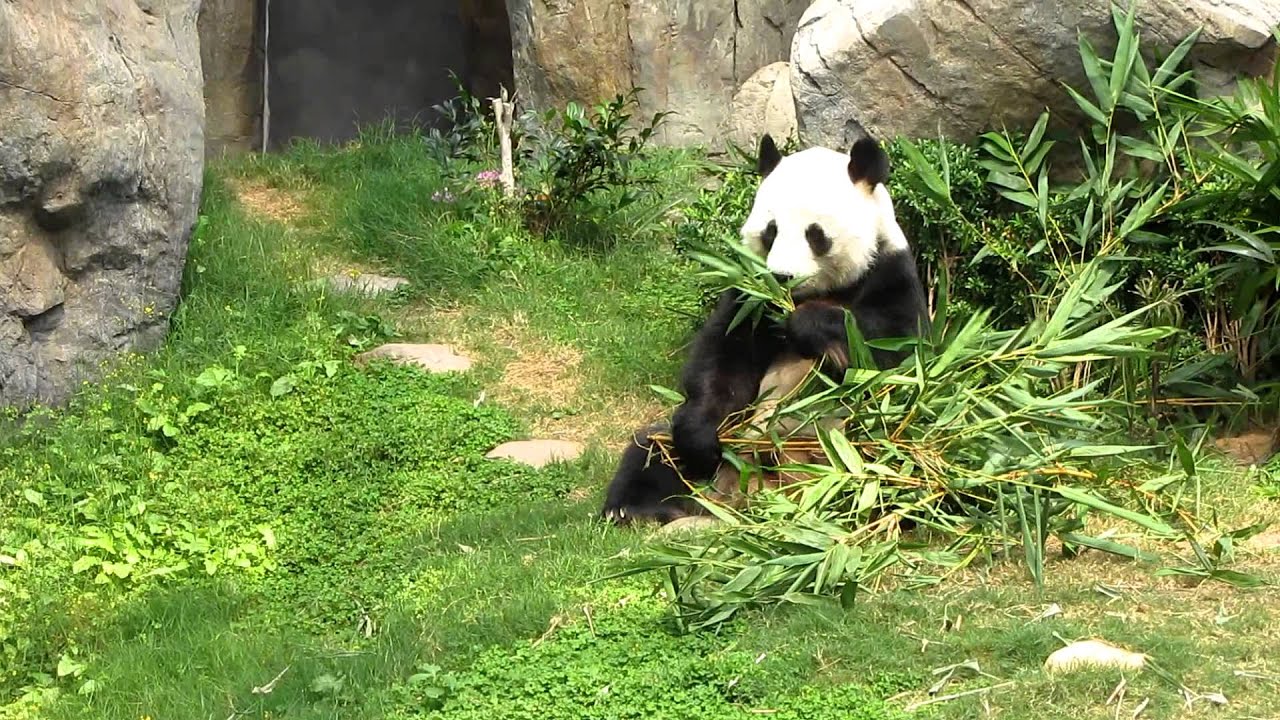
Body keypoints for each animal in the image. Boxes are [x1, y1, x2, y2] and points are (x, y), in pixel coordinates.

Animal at [599, 131, 930, 526]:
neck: (812, 294)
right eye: (771, 231)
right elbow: (724, 359)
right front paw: (703, 436)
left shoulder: (891, 275)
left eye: (815, 234)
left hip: (867, 451)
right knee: (652, 449)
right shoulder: (751, 294)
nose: (782, 276)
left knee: (892, 466)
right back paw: (636, 508)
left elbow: (900, 359)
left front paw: (812, 327)